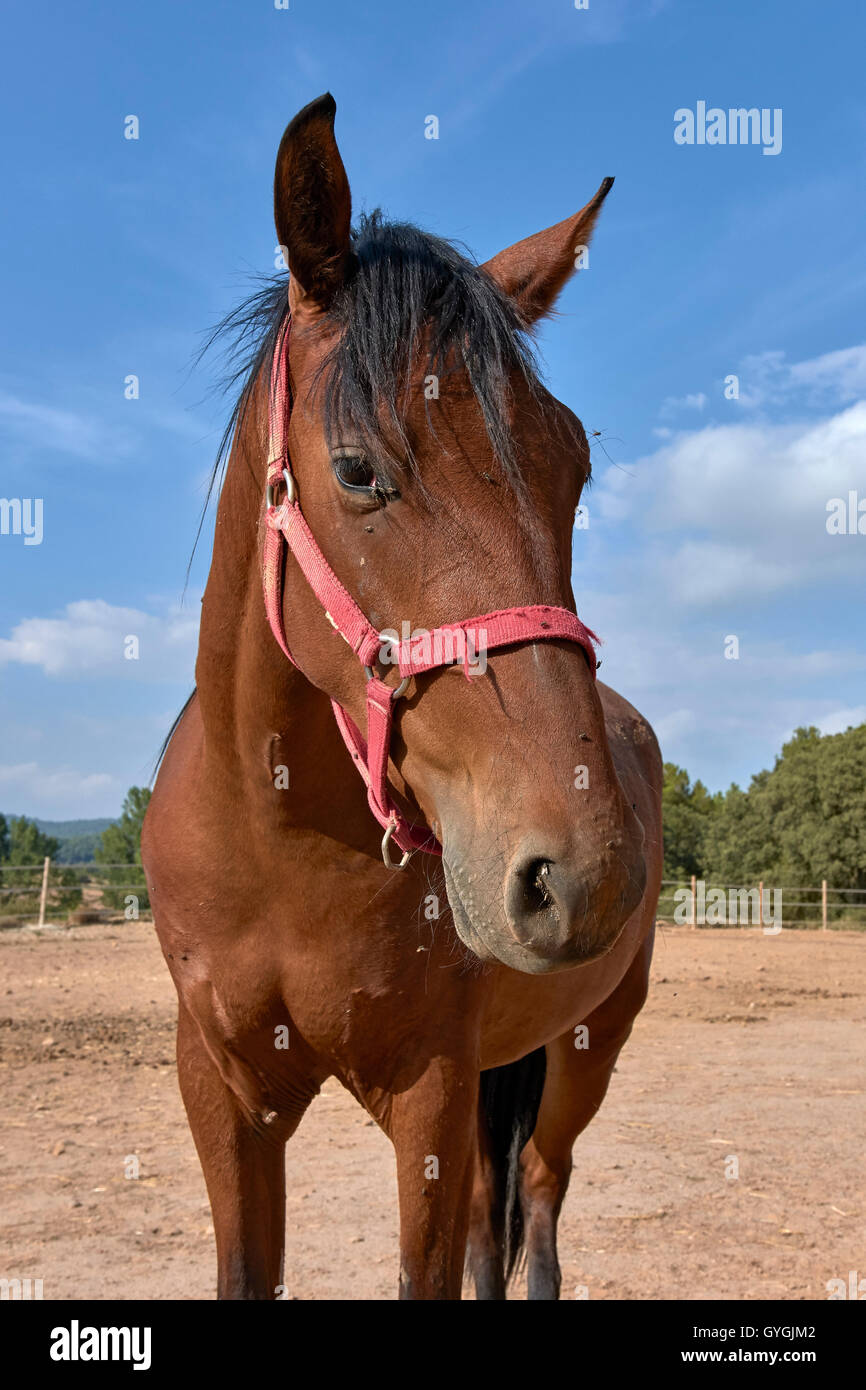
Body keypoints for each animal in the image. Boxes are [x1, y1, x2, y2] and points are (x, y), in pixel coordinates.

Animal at [141, 92, 663, 1301]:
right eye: (357, 469)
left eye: (573, 464)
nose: (582, 873)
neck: (278, 837)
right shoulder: (221, 1096)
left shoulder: (427, 1093)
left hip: (584, 1052)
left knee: (537, 1208)